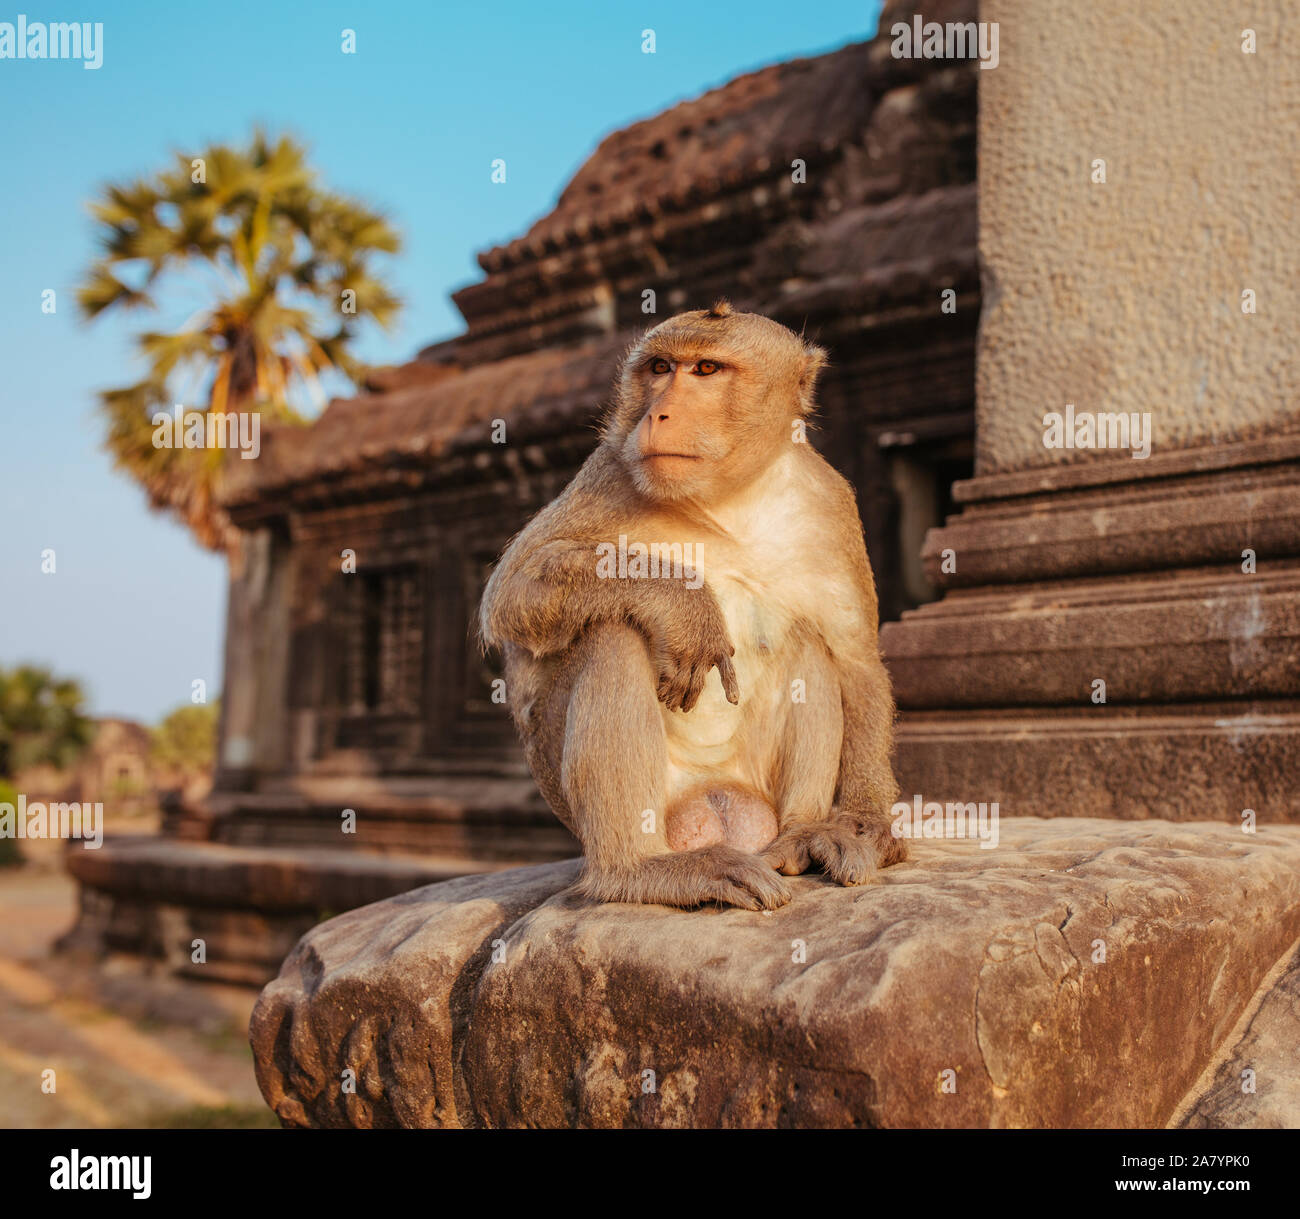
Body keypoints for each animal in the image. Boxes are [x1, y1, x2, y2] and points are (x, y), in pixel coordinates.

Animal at [478, 302, 906, 910]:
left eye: (706, 368)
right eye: (660, 367)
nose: (657, 414)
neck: (726, 499)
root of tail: (714, 801)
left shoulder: (829, 502)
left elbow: (856, 661)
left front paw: (866, 825)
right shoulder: (610, 469)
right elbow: (513, 592)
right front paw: (684, 605)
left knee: (808, 641)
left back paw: (804, 832)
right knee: (613, 634)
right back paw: (638, 869)